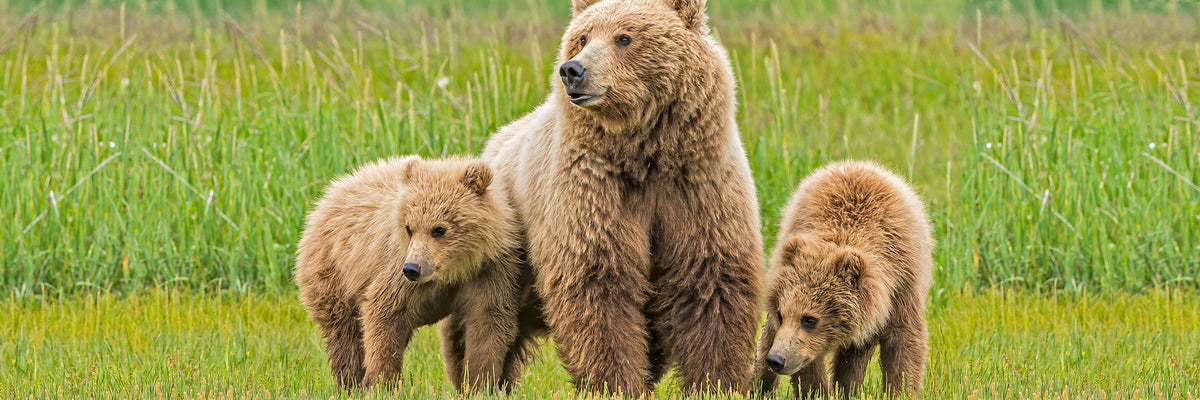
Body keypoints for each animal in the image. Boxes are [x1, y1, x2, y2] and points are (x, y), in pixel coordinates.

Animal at [293, 156, 543, 392]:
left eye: (439, 229)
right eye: (409, 228)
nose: (412, 269)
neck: (454, 270)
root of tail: (329, 193)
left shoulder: (489, 271)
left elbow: (487, 323)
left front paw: (481, 384)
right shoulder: (398, 270)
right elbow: (384, 315)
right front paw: (382, 383)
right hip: (333, 272)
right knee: (345, 334)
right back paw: (351, 382)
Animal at [481, 0, 763, 395]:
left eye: (624, 37)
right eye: (583, 37)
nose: (573, 70)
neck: (647, 156)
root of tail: (496, 140)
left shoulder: (698, 189)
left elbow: (711, 282)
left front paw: (717, 381)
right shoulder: (594, 190)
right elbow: (599, 284)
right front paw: (613, 382)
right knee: (490, 321)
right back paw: (485, 379)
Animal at [755, 160, 933, 399]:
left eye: (809, 319)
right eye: (782, 314)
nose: (777, 359)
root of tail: (854, 163)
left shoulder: (903, 284)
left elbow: (903, 344)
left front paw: (900, 390)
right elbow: (809, 364)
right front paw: (817, 391)